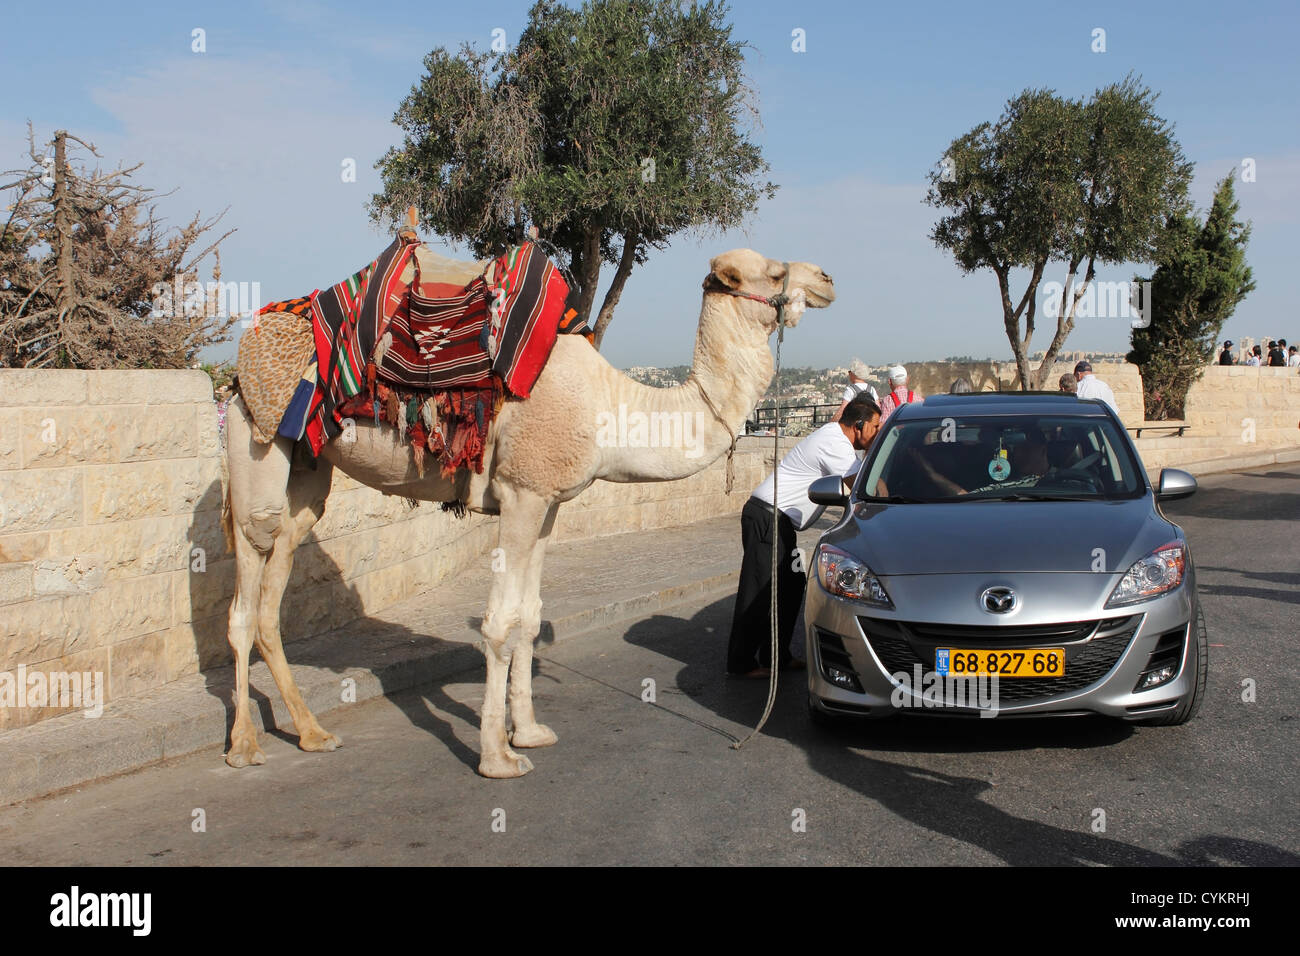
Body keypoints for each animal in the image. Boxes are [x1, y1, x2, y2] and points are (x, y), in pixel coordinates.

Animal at [221, 248, 835, 777]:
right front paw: (498, 757)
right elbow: (498, 623)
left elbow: (529, 618)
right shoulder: (521, 493)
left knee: (280, 570)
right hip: (256, 440)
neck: (610, 407)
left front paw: (532, 731)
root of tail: (241, 355)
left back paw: (311, 732)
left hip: (309, 468)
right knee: (248, 576)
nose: (827, 279)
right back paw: (245, 746)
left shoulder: (549, 502)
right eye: (774, 272)